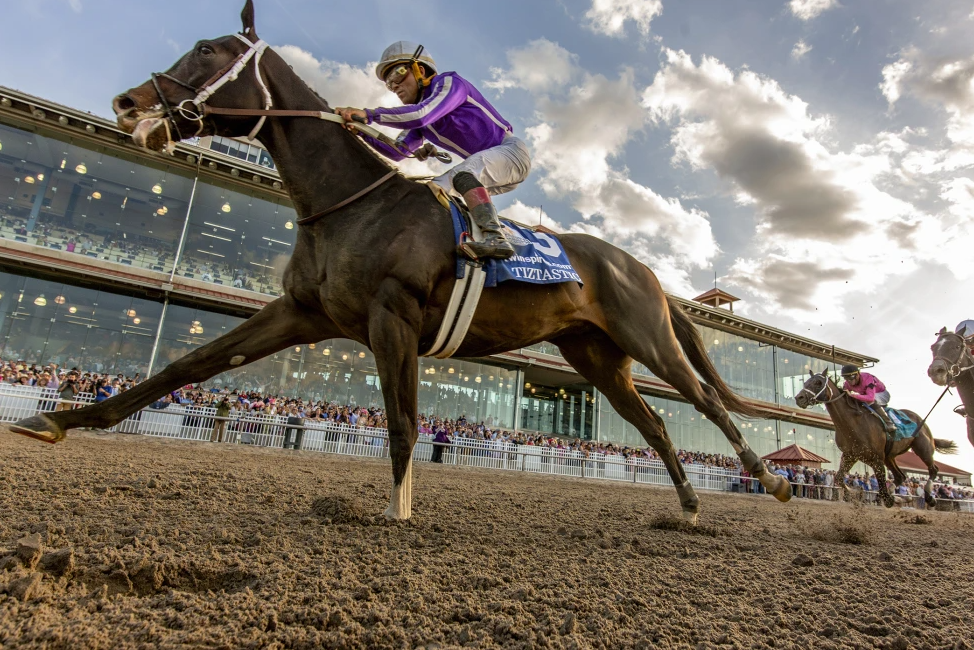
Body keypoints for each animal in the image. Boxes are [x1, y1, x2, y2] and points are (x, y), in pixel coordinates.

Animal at [1, 0, 792, 524]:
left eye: (206, 49)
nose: (127, 102)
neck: (348, 202)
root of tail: (642, 267)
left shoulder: (395, 318)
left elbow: (405, 420)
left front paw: (398, 512)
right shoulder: (303, 312)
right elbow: (188, 365)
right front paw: (61, 419)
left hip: (645, 337)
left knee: (703, 401)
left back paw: (769, 479)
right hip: (596, 356)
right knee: (655, 423)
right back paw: (688, 505)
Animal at [795, 371, 955, 508]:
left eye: (818, 382)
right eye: (806, 382)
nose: (799, 398)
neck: (853, 422)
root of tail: (920, 419)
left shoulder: (876, 458)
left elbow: (882, 488)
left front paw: (888, 498)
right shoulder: (851, 455)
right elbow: (839, 478)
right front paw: (855, 493)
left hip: (923, 448)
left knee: (933, 470)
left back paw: (929, 498)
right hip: (889, 456)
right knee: (900, 477)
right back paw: (902, 497)